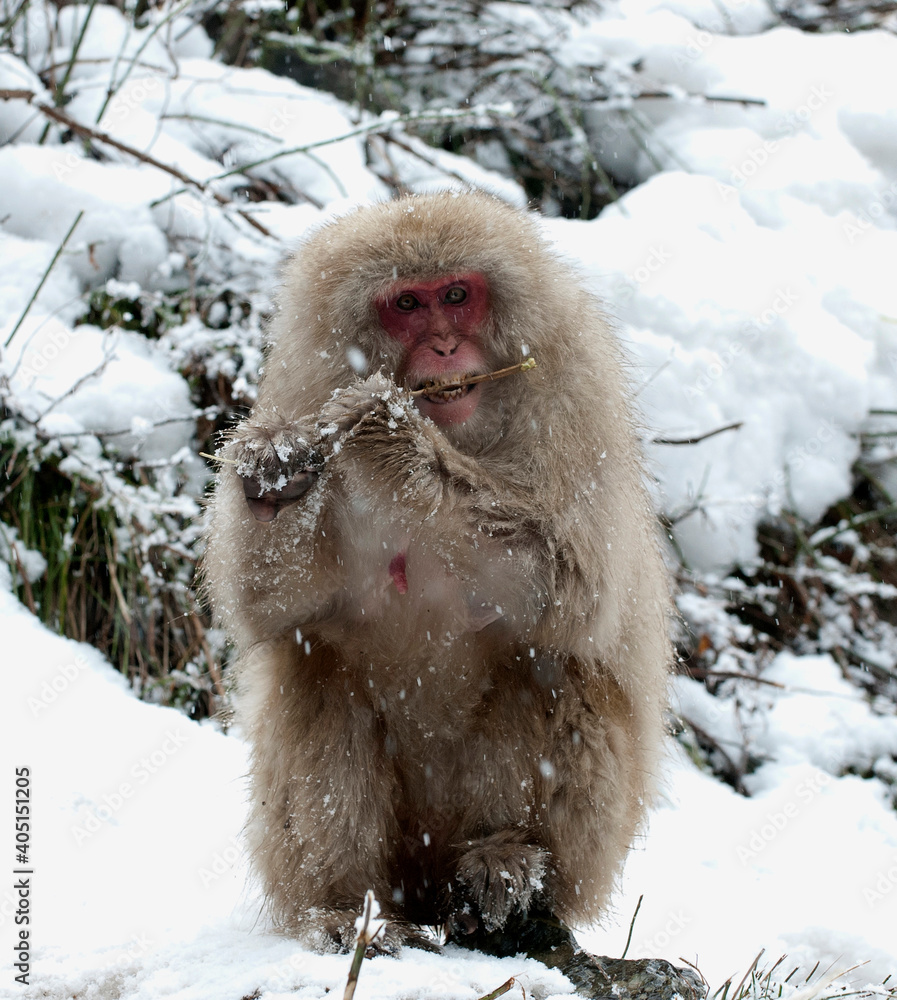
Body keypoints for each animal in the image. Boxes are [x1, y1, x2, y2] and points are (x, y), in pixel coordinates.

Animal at [203, 191, 671, 958]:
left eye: (456, 295)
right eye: (407, 304)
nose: (446, 347)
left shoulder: (572, 396)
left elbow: (573, 579)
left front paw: (395, 440)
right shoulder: (304, 388)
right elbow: (270, 605)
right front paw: (273, 472)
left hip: (572, 849)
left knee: (551, 661)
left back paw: (504, 863)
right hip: (396, 857)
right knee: (316, 664)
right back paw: (346, 910)